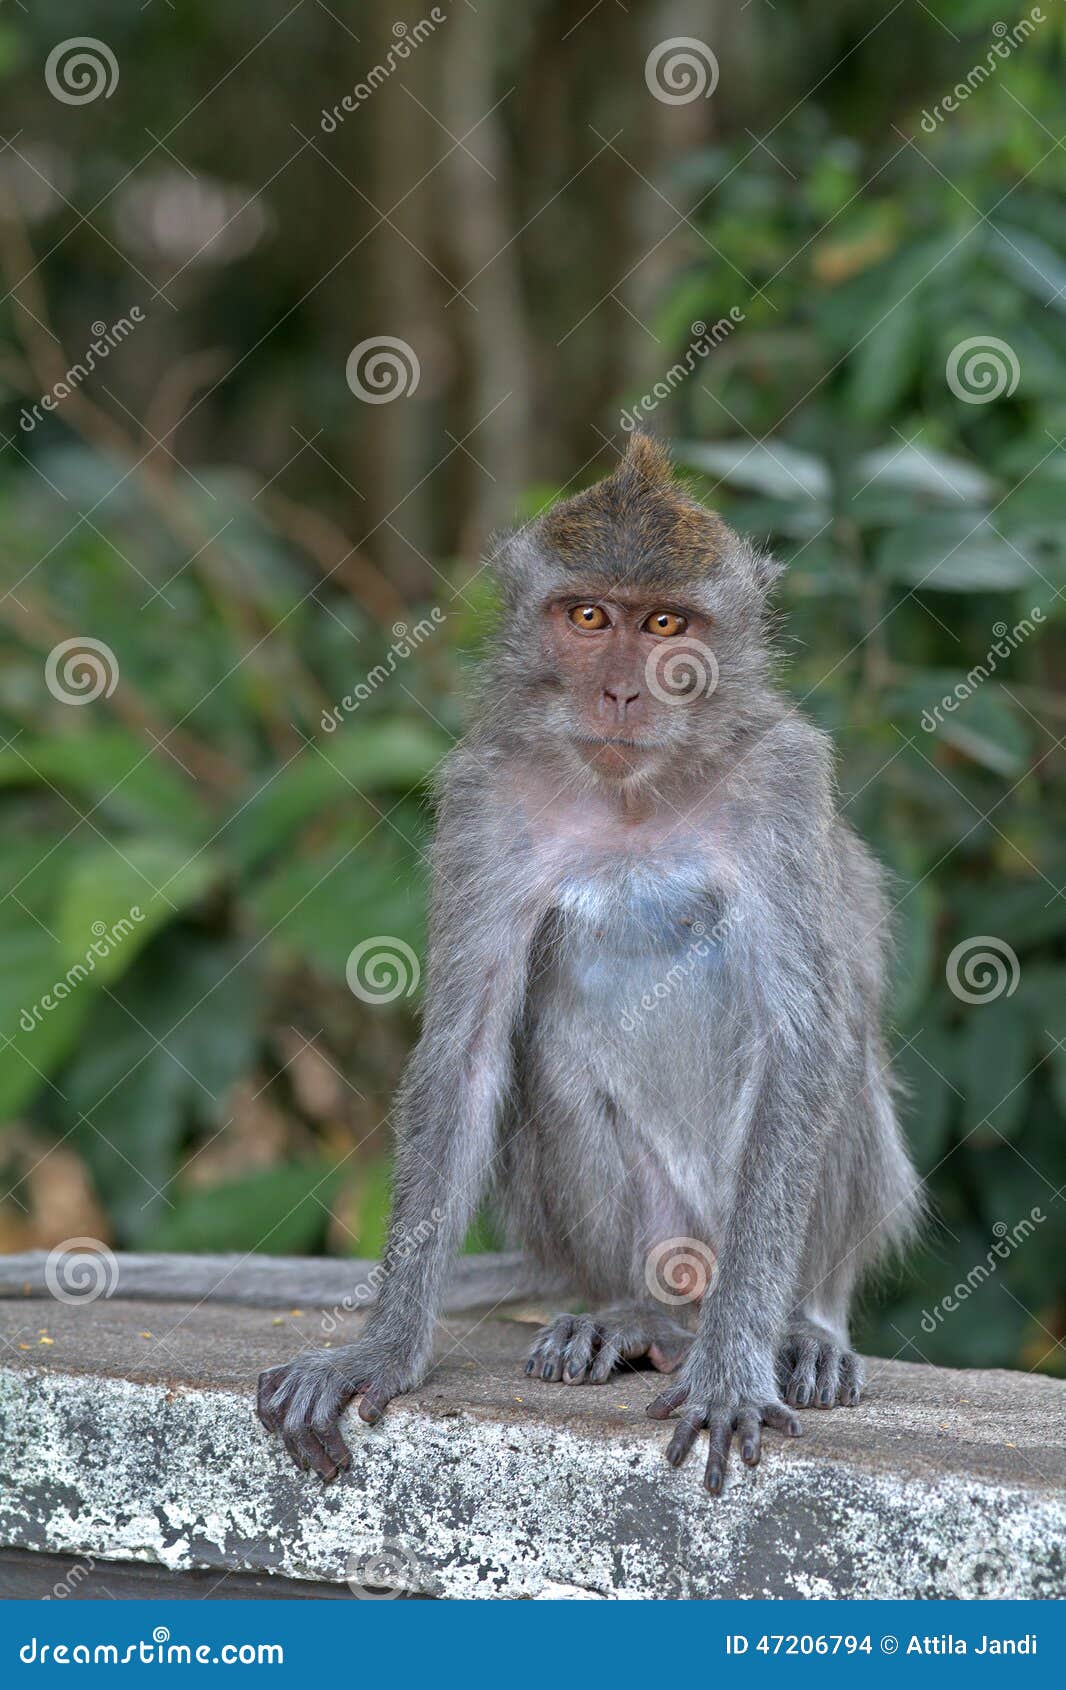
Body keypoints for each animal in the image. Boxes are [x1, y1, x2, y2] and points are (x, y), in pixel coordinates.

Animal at [258, 431, 922, 1496]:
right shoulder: (486, 793)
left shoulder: (782, 784)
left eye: (666, 625)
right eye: (587, 617)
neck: (636, 796)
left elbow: (804, 1046)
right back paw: (634, 1318)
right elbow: (465, 1050)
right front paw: (382, 1350)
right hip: (651, 1234)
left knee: (837, 1072)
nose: (620, 691)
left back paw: (795, 1329)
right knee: (552, 1068)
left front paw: (732, 1373)